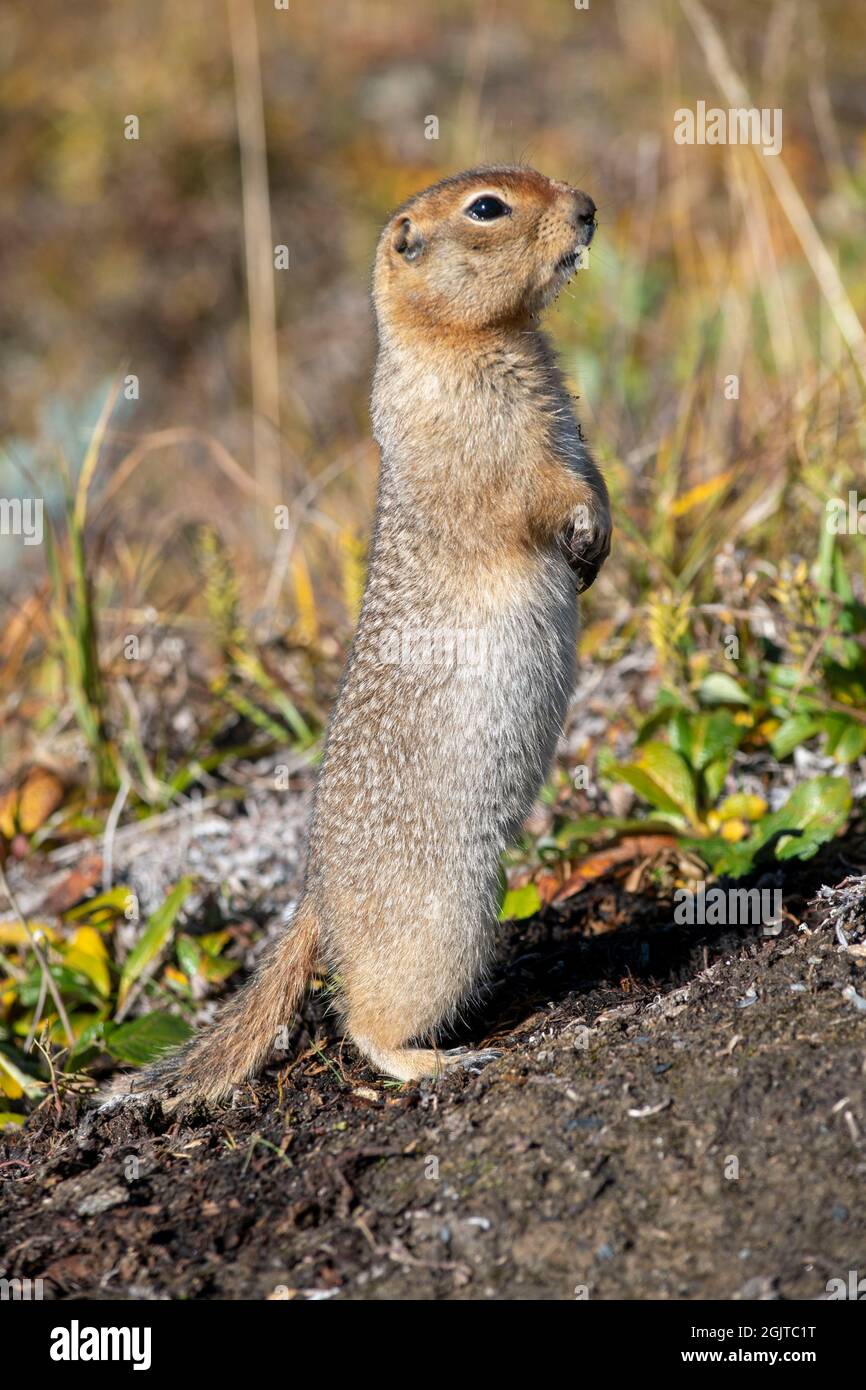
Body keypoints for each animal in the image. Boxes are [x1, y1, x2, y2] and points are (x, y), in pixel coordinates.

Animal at [134, 166, 611, 1102]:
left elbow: (593, 470)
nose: (588, 209)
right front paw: (580, 531)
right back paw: (434, 1057)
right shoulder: (489, 437)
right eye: (488, 207)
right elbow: (536, 490)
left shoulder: (564, 421)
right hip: (442, 928)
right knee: (362, 1020)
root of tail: (317, 896)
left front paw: (601, 539)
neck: (474, 341)